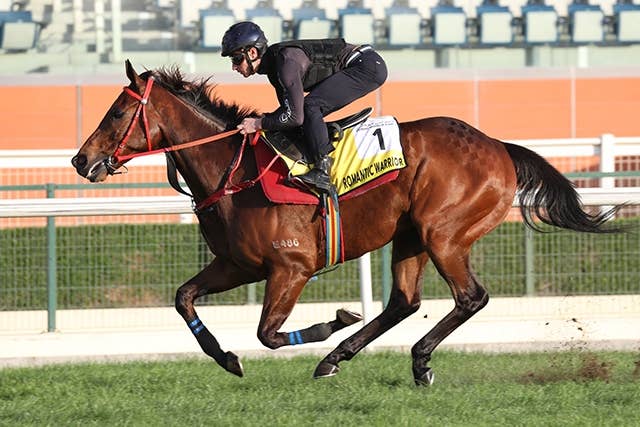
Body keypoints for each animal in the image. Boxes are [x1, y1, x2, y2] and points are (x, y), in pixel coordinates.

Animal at [72, 61, 620, 385]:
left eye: (117, 112)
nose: (81, 160)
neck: (233, 170)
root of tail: (498, 146)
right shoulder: (237, 265)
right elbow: (184, 297)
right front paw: (226, 357)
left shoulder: (291, 268)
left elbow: (268, 333)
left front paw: (332, 321)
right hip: (410, 236)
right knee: (404, 302)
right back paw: (347, 356)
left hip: (444, 234)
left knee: (470, 297)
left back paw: (404, 355)